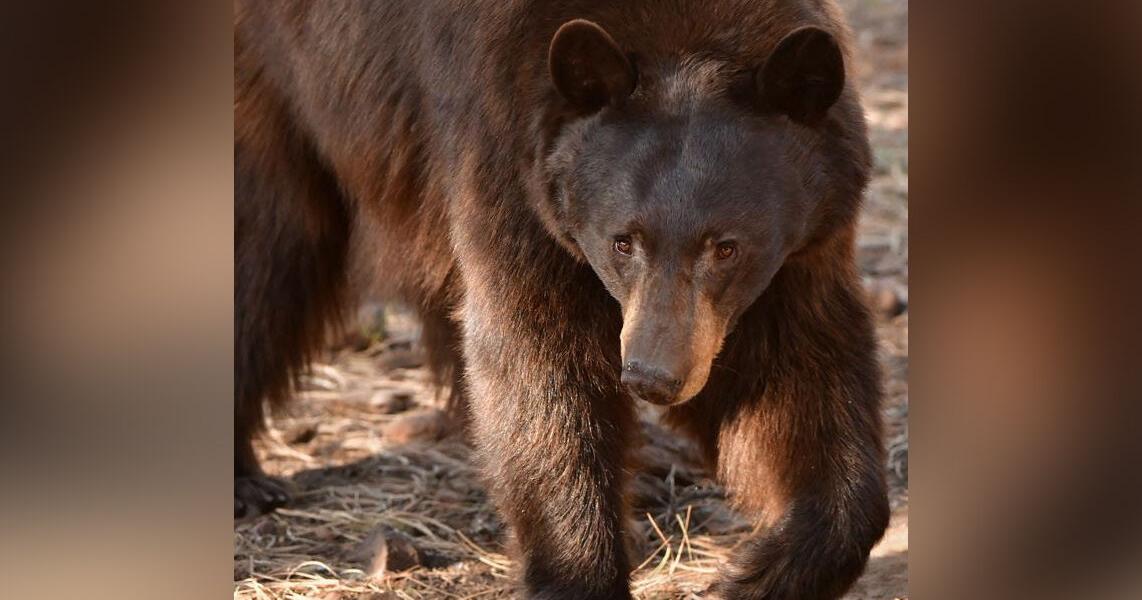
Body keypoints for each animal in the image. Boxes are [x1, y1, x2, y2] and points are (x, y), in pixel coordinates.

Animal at [234, 1, 889, 598]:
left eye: (726, 247)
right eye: (623, 240)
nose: (652, 376)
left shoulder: (797, 253)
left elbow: (800, 366)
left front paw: (760, 573)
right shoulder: (503, 165)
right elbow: (536, 367)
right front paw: (579, 573)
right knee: (267, 248)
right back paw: (247, 484)